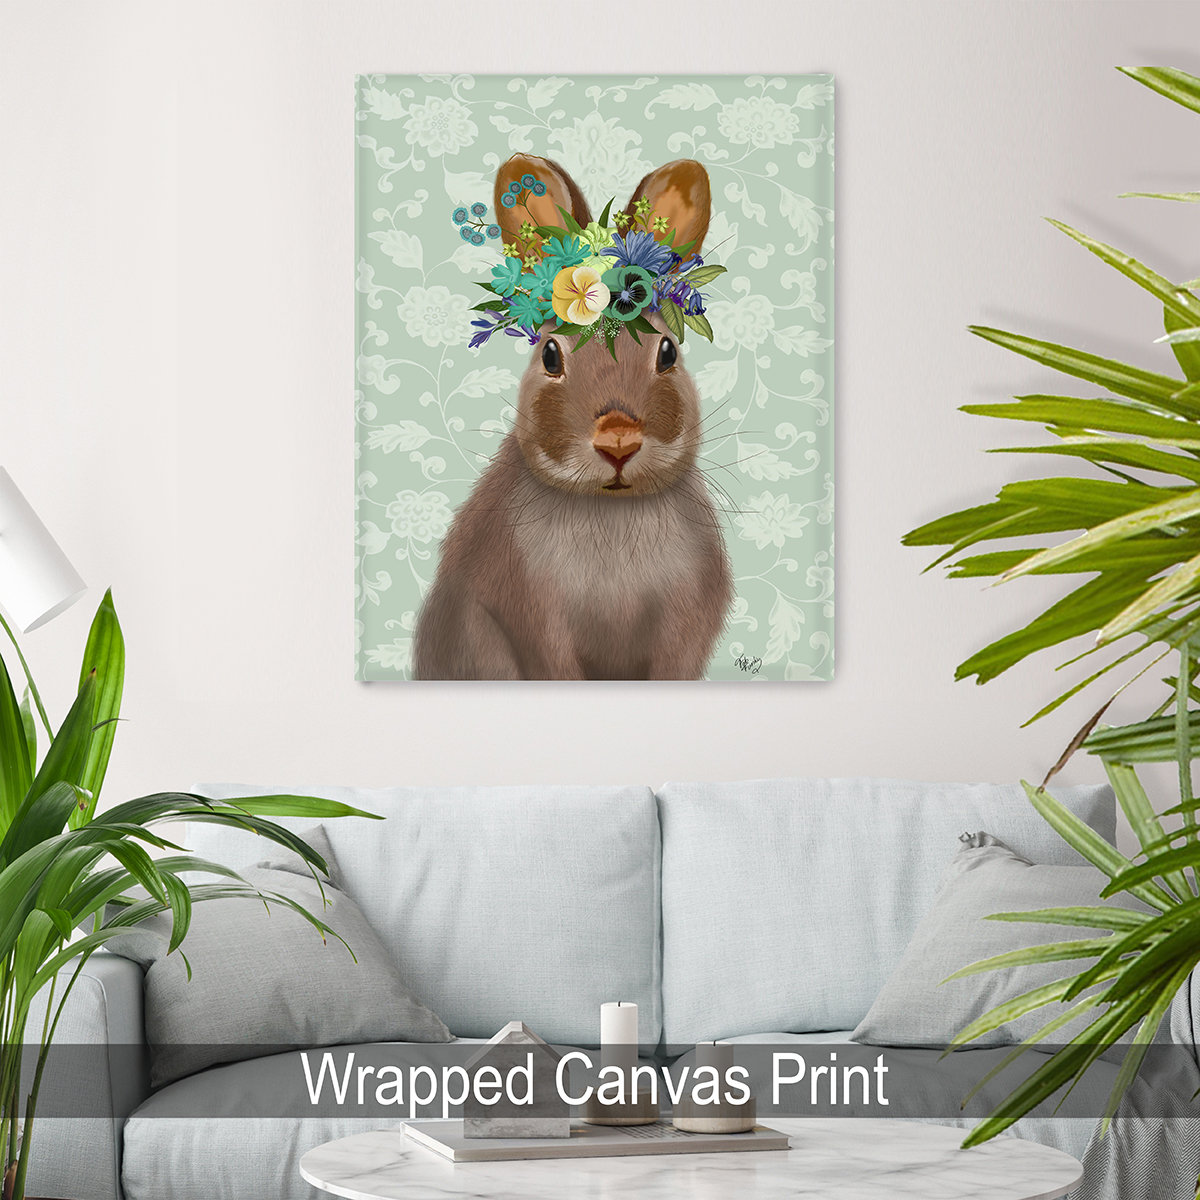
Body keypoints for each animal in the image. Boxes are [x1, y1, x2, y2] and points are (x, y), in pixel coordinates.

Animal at [413, 153, 733, 680]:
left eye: (668, 352)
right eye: (550, 356)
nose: (618, 440)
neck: (609, 507)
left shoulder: (686, 622)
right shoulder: (530, 619)